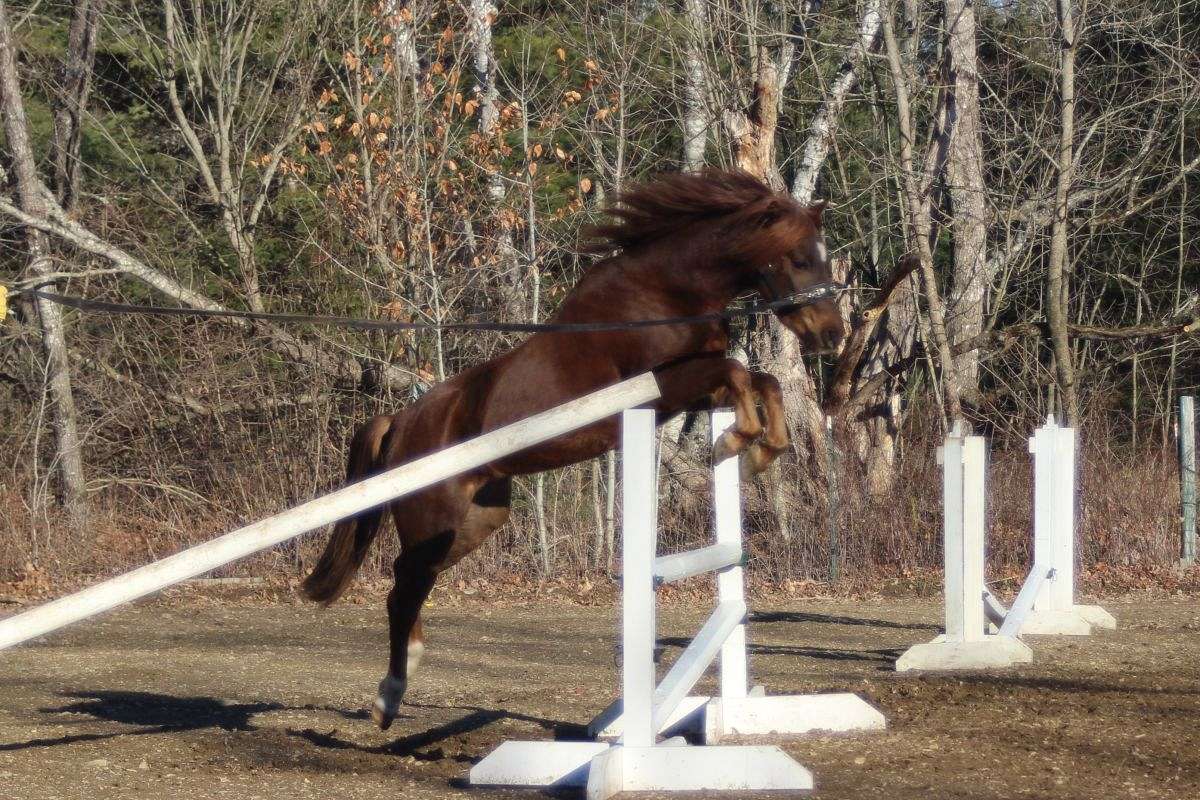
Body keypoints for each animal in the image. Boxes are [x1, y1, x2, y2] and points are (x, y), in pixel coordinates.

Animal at [300, 168, 844, 730]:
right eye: (798, 258)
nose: (833, 335)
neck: (666, 292)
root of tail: (403, 420)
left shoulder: (696, 391)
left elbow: (763, 381)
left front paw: (762, 448)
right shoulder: (663, 387)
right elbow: (738, 371)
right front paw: (739, 441)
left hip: (475, 522)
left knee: (411, 582)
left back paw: (407, 669)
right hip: (433, 517)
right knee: (402, 586)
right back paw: (389, 696)